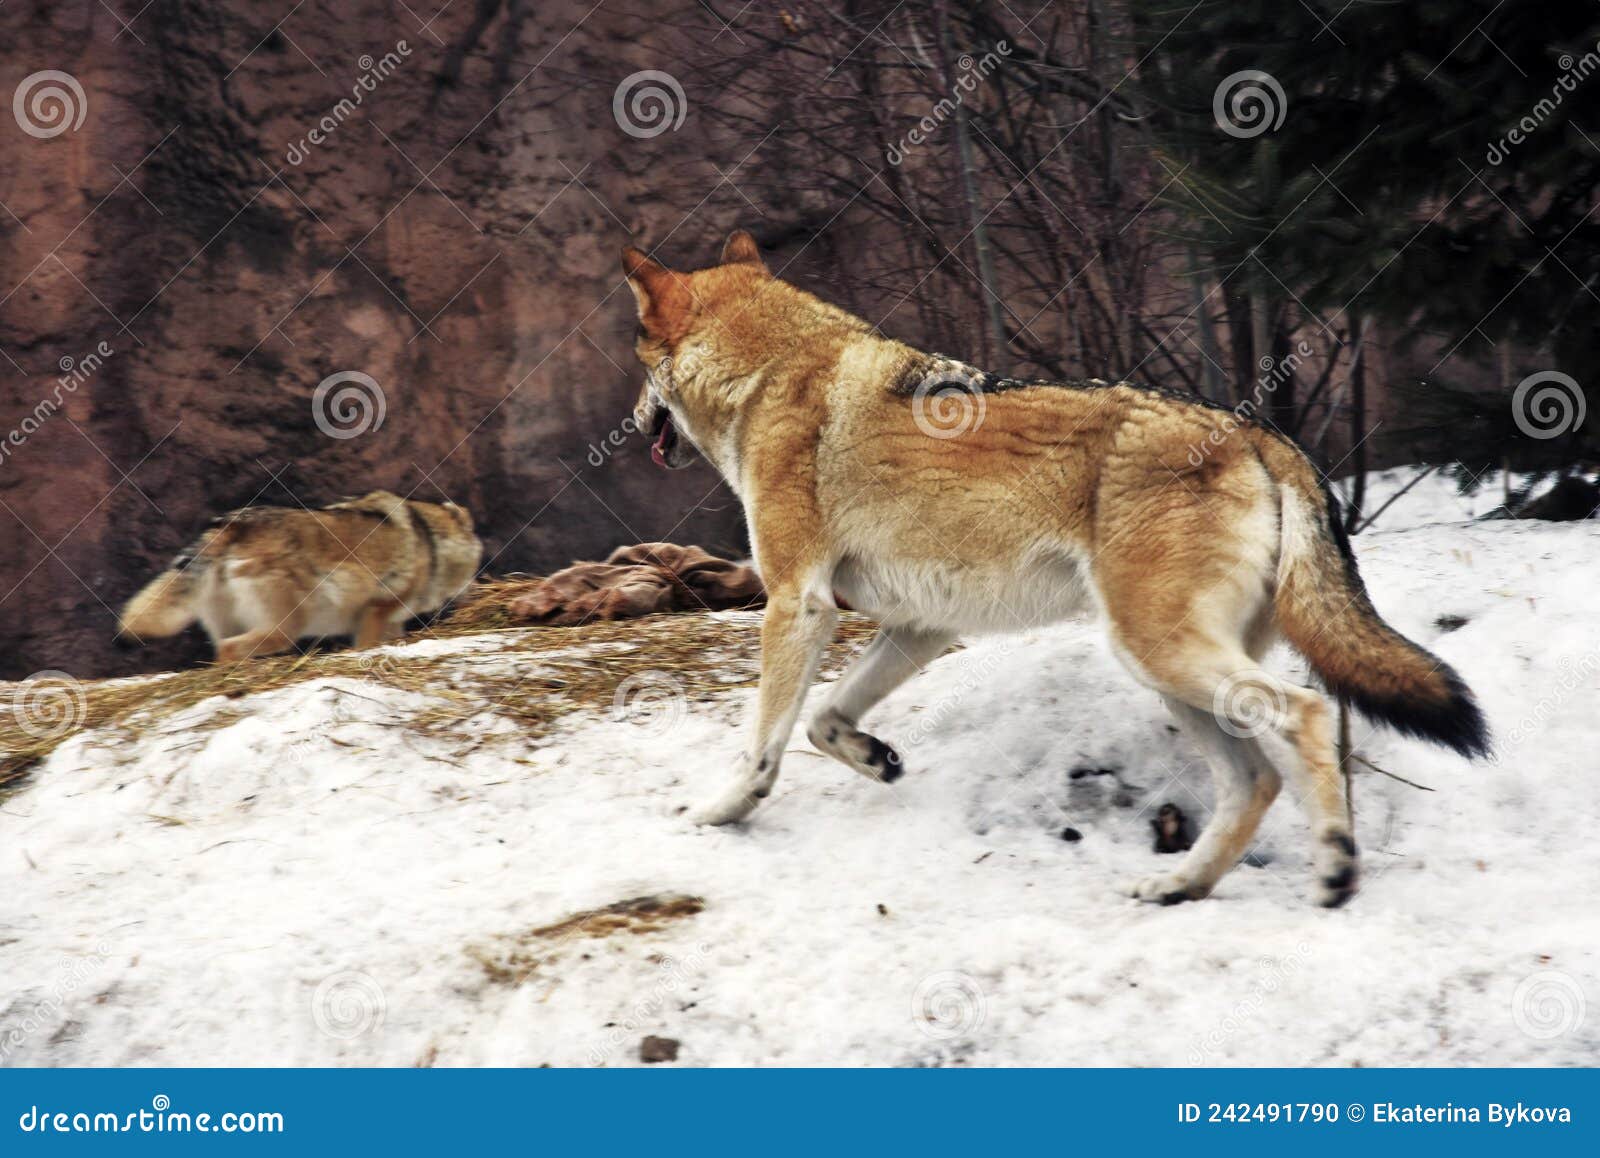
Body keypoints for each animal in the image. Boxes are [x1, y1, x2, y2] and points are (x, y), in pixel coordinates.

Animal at [117, 491, 481, 662]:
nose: (476, 589)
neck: (430, 541)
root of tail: (231, 524)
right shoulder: (376, 613)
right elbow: (366, 646)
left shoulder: (391, 623)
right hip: (285, 629)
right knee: (230, 649)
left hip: (234, 624)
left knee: (223, 650)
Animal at [621, 230, 1489, 907]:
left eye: (636, 362)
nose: (630, 422)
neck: (770, 374)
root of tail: (1259, 431)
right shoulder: (919, 625)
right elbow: (825, 720)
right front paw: (878, 760)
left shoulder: (797, 604)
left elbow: (764, 742)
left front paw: (719, 814)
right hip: (1168, 675)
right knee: (1255, 782)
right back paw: (1179, 886)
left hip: (1157, 651)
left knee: (1306, 714)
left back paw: (1335, 870)